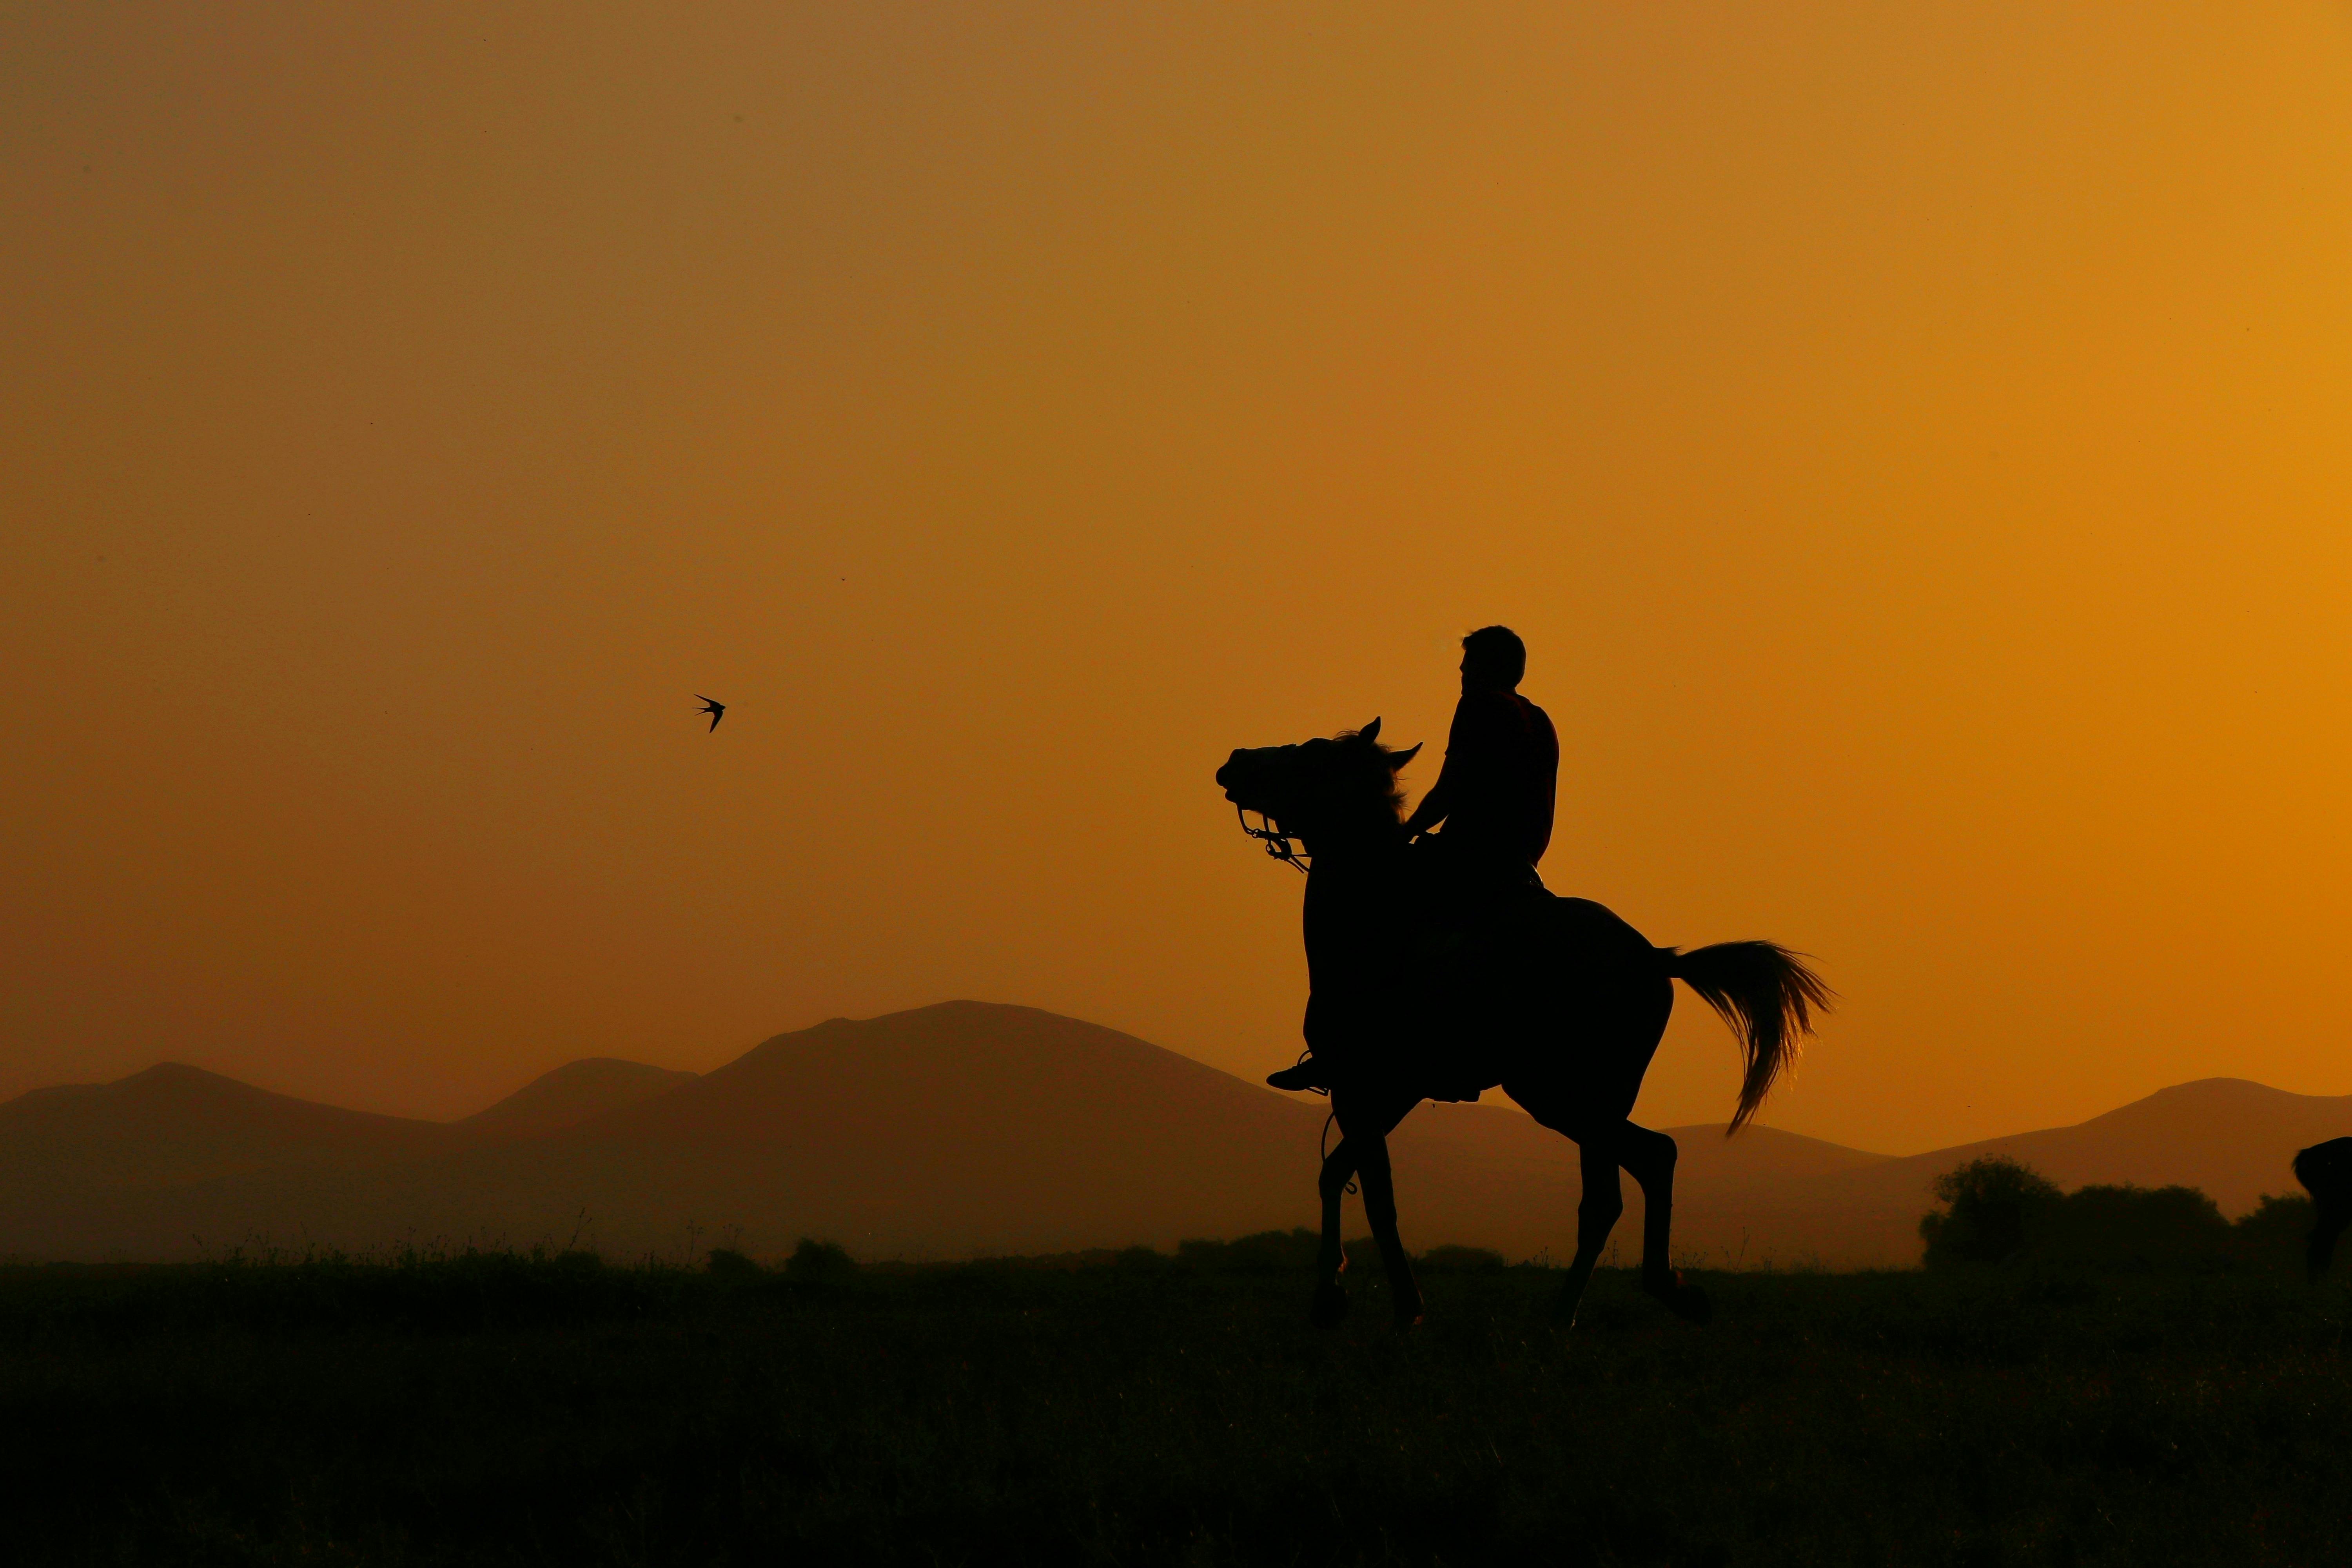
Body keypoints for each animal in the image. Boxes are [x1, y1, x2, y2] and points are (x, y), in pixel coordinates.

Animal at [1216, 720, 1830, 1330]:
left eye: (1311, 755)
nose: (1234, 761)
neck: (1371, 917)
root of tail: (1655, 959)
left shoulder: (1360, 1084)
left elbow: (1375, 1195)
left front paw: (1388, 1303)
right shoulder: (1392, 1092)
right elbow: (1338, 1174)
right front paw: (1338, 1293)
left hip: (1560, 1095)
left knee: (1625, 1179)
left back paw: (1580, 1313)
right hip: (1589, 1100)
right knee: (1637, 1172)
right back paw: (1640, 1297)